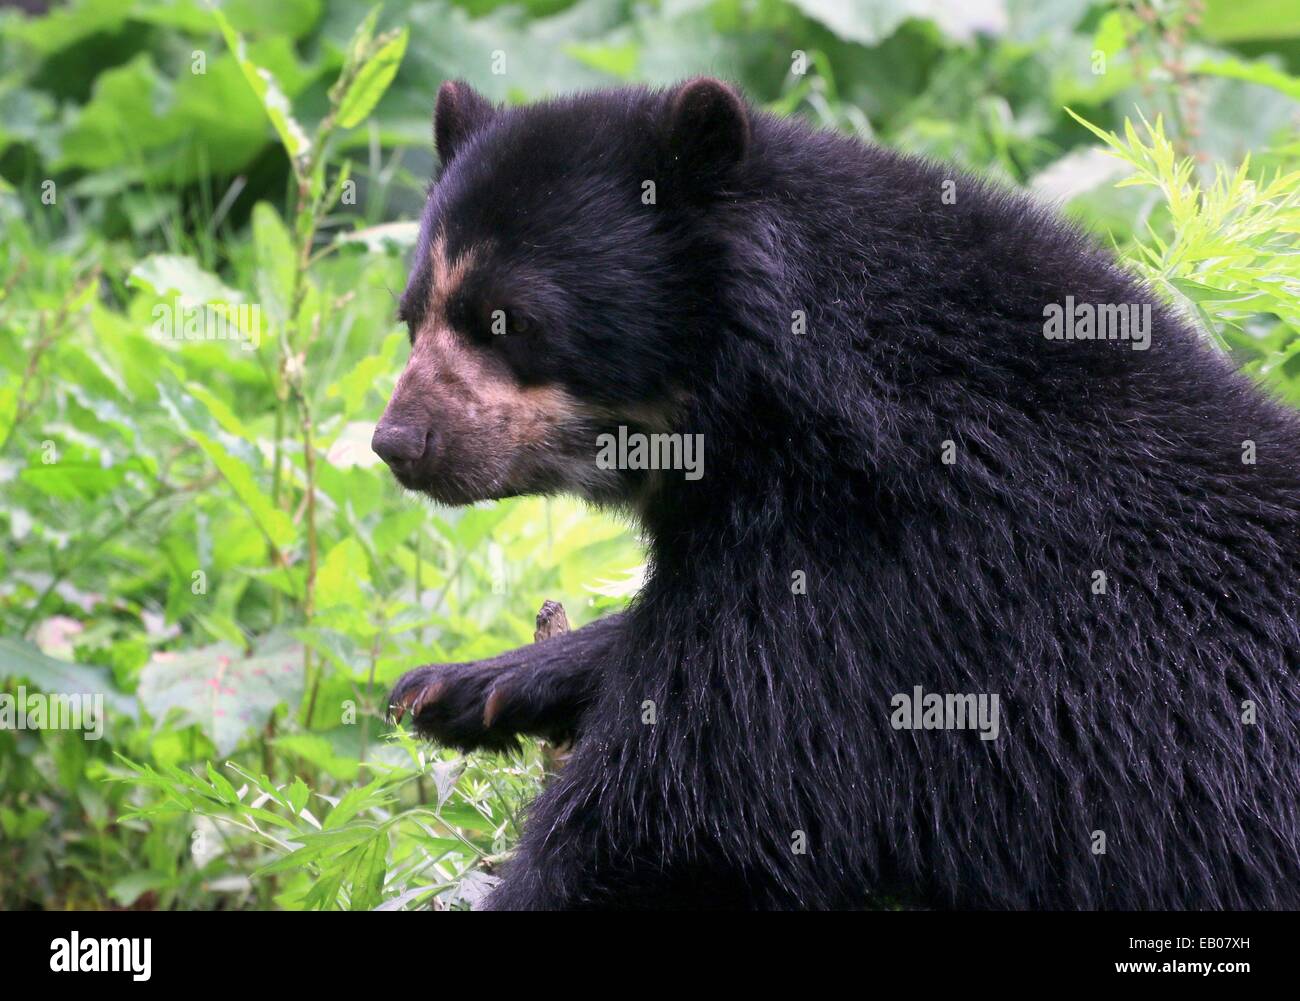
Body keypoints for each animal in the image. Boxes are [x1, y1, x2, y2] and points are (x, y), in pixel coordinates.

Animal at [378, 78, 1300, 909]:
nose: (399, 441)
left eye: (510, 319)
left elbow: (687, 807)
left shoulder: (864, 579)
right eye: (411, 315)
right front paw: (459, 684)